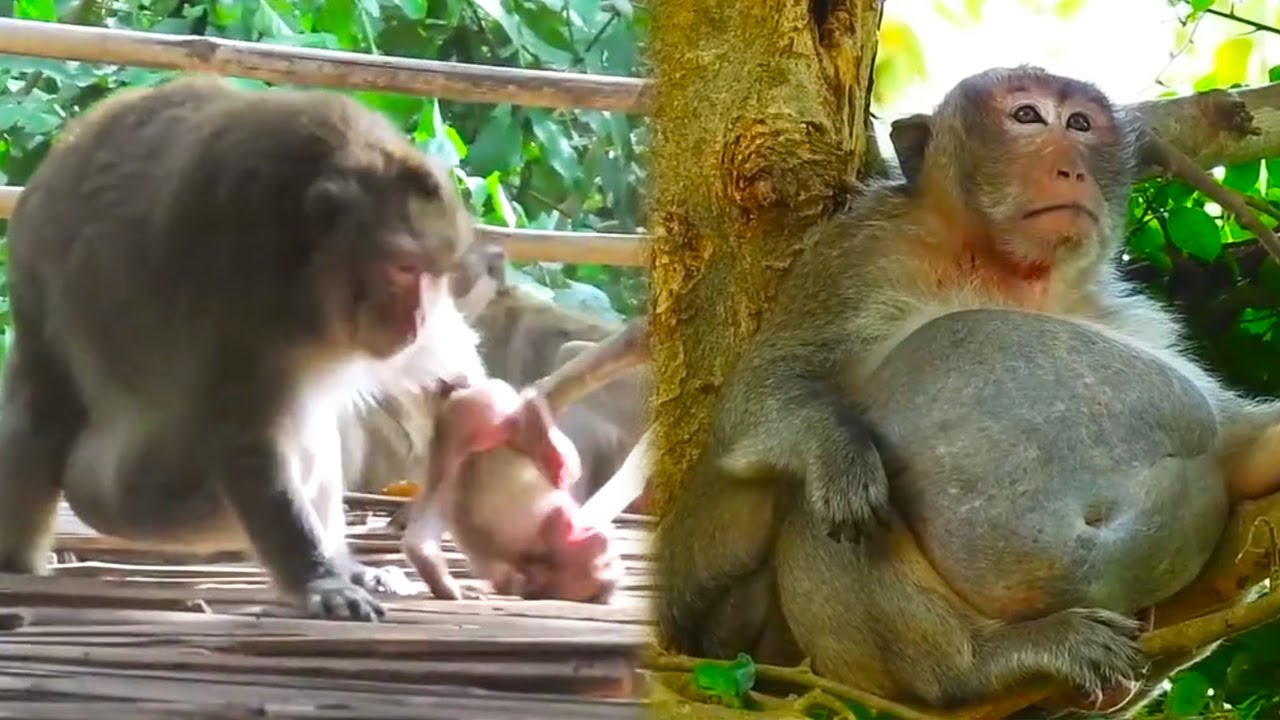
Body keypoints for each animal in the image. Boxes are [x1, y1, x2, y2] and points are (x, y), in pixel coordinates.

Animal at [0, 74, 514, 622]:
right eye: (401, 269)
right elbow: (248, 440)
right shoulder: (244, 286)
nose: (414, 320)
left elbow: (441, 370)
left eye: (432, 273)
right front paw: (318, 579)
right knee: (44, 408)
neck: (307, 268)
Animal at [654, 65, 1280, 712]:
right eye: (1027, 116)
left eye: (1081, 124)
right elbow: (756, 399)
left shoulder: (1128, 317)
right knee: (819, 502)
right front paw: (840, 454)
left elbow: (1230, 444)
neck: (1003, 267)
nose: (1071, 169)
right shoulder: (859, 252)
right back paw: (985, 662)